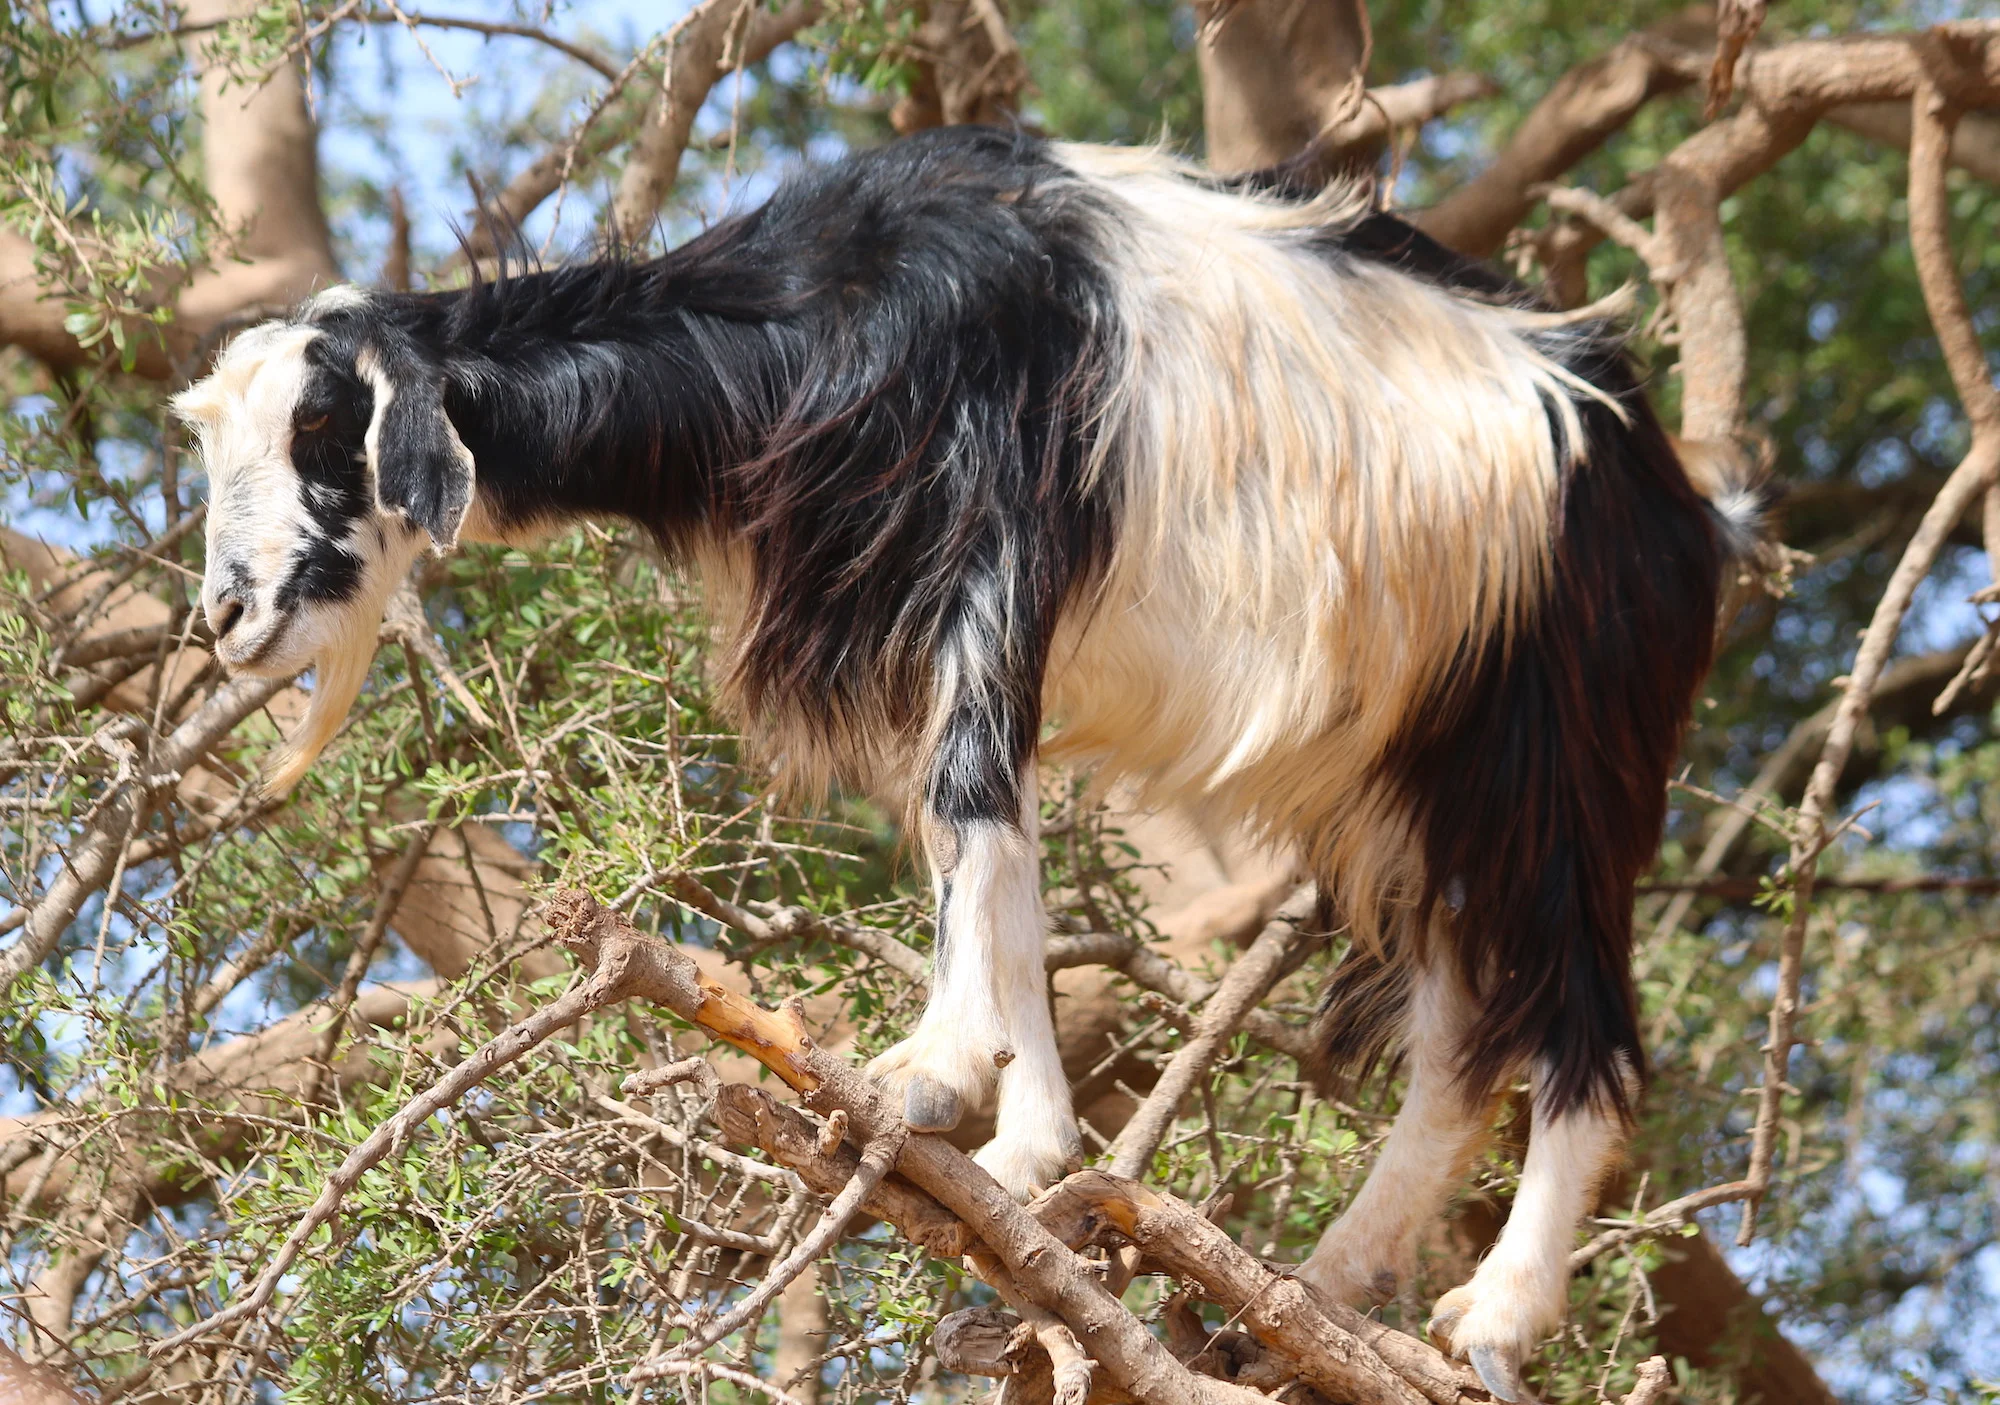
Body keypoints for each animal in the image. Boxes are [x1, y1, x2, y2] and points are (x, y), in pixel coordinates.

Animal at [172, 126, 1760, 1395]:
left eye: (324, 423)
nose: (228, 616)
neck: (825, 311)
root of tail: (1682, 510)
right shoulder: (914, 613)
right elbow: (984, 854)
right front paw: (1000, 1123)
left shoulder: (996, 541)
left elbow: (971, 816)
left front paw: (959, 1100)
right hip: (1405, 776)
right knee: (1455, 1039)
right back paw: (1322, 1286)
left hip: (1561, 750)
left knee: (1584, 1023)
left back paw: (1492, 1313)